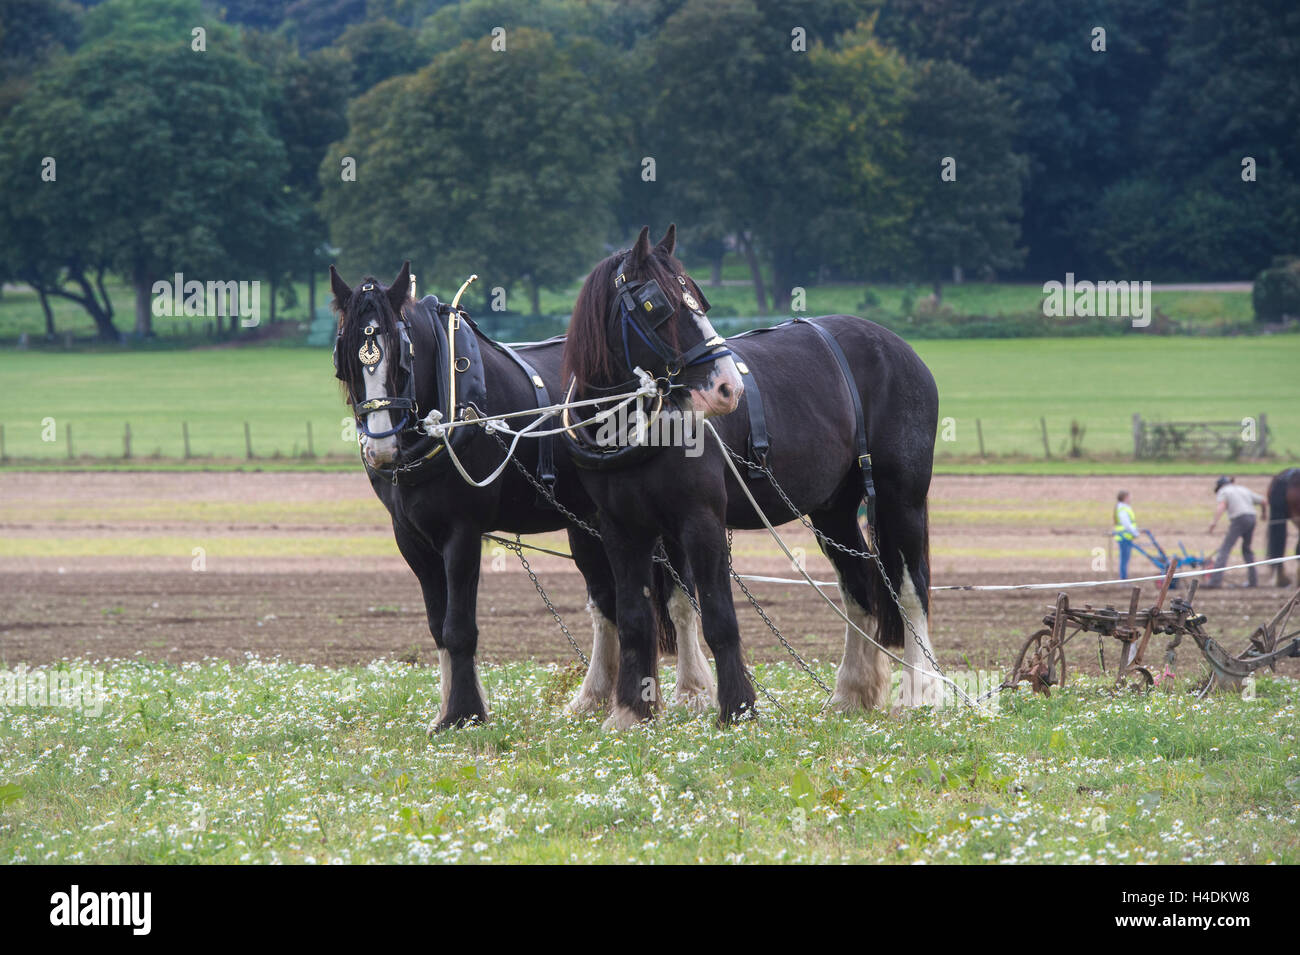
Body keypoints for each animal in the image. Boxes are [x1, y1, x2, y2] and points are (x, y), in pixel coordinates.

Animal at [328, 262, 708, 732]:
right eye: (345, 357)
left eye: (402, 354)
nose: (380, 448)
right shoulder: (411, 538)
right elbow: (437, 626)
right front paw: (446, 712)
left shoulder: (462, 532)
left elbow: (458, 628)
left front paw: (465, 713)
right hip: (587, 524)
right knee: (606, 604)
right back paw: (593, 698)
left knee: (679, 597)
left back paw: (693, 693)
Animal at [560, 225, 940, 728]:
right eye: (656, 305)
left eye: (697, 297)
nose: (729, 387)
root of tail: (899, 348)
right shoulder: (621, 529)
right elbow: (635, 619)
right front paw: (628, 713)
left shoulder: (701, 520)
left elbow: (720, 616)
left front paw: (737, 708)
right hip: (834, 510)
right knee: (859, 586)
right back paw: (850, 693)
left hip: (902, 499)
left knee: (912, 589)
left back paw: (922, 693)